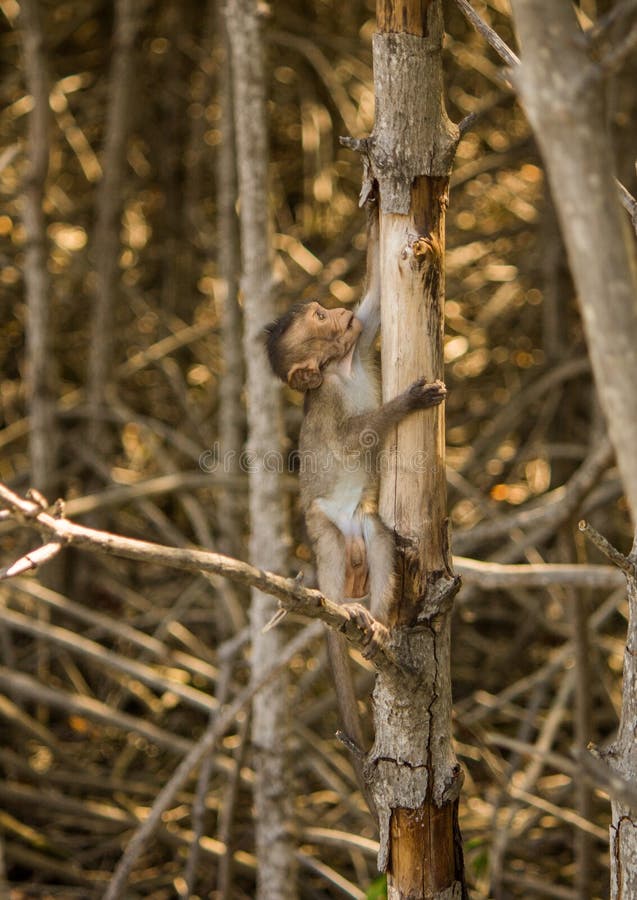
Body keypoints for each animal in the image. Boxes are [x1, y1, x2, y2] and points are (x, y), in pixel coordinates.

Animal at [264, 199, 446, 788]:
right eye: (319, 321)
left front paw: (374, 212)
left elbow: (379, 300)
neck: (339, 369)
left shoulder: (360, 342)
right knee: (332, 554)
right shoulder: (328, 404)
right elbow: (351, 439)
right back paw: (350, 611)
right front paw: (409, 401)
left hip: (359, 531)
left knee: (378, 534)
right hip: (322, 525)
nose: (335, 309)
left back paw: (381, 623)